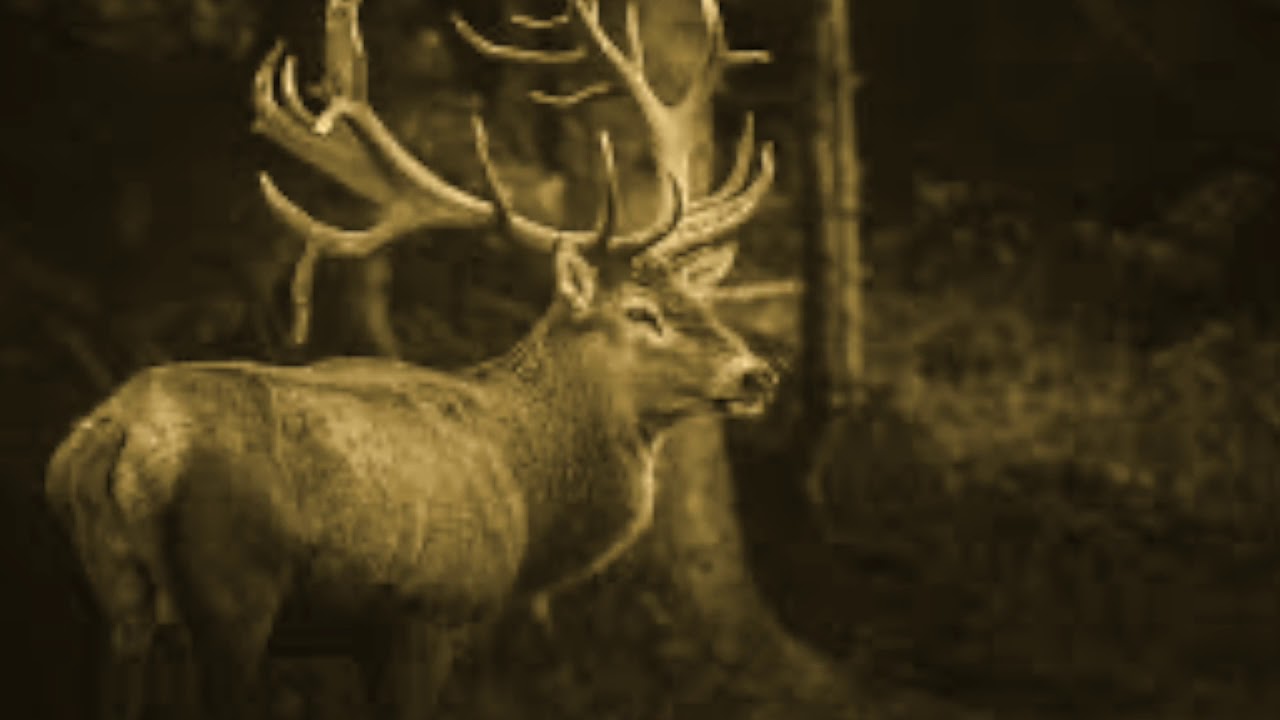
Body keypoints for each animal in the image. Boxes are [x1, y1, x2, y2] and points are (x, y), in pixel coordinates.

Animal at [45, 0, 777, 718]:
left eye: (697, 298)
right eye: (640, 313)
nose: (758, 373)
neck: (527, 505)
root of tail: (114, 439)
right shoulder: (431, 609)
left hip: (103, 607)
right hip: (233, 590)